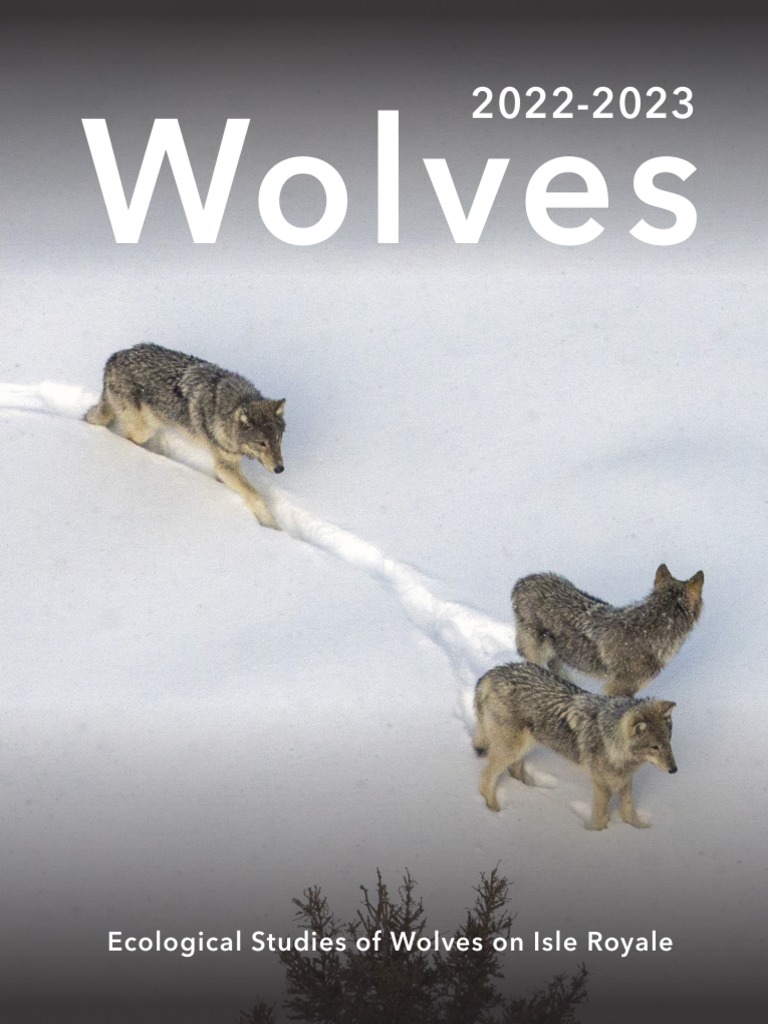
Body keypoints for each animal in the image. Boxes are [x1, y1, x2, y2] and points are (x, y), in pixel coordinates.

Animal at [85, 343, 286, 529]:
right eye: (261, 443)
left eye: (277, 439)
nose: (280, 469)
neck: (230, 406)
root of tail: (113, 358)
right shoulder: (225, 465)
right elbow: (256, 496)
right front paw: (273, 527)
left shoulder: (227, 464)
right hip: (145, 429)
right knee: (127, 437)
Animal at [473, 662, 677, 830]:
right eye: (654, 747)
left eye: (668, 742)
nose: (674, 770)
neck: (612, 742)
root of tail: (492, 673)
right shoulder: (601, 785)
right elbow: (600, 818)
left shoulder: (625, 781)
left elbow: (629, 813)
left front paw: (640, 831)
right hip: (512, 748)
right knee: (486, 777)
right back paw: (494, 809)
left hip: (524, 745)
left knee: (514, 770)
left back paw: (531, 789)